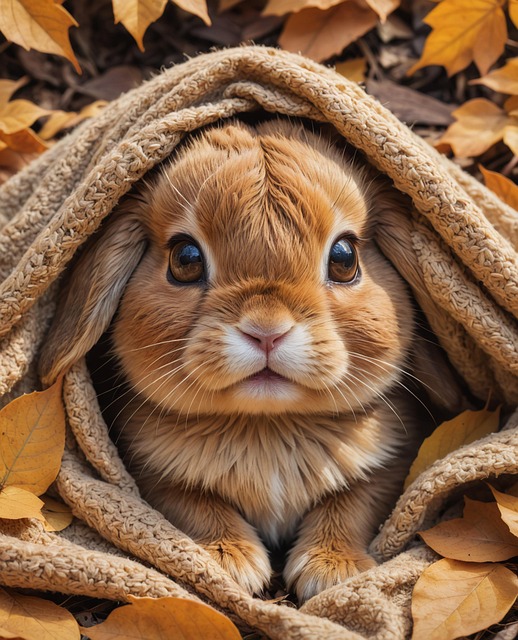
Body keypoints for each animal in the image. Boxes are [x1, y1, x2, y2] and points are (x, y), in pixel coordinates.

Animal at [40, 119, 459, 602]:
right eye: (185, 258)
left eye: (344, 257)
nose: (266, 331)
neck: (267, 424)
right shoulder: (149, 474)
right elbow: (191, 504)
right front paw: (230, 560)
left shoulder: (391, 465)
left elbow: (354, 503)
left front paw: (332, 568)